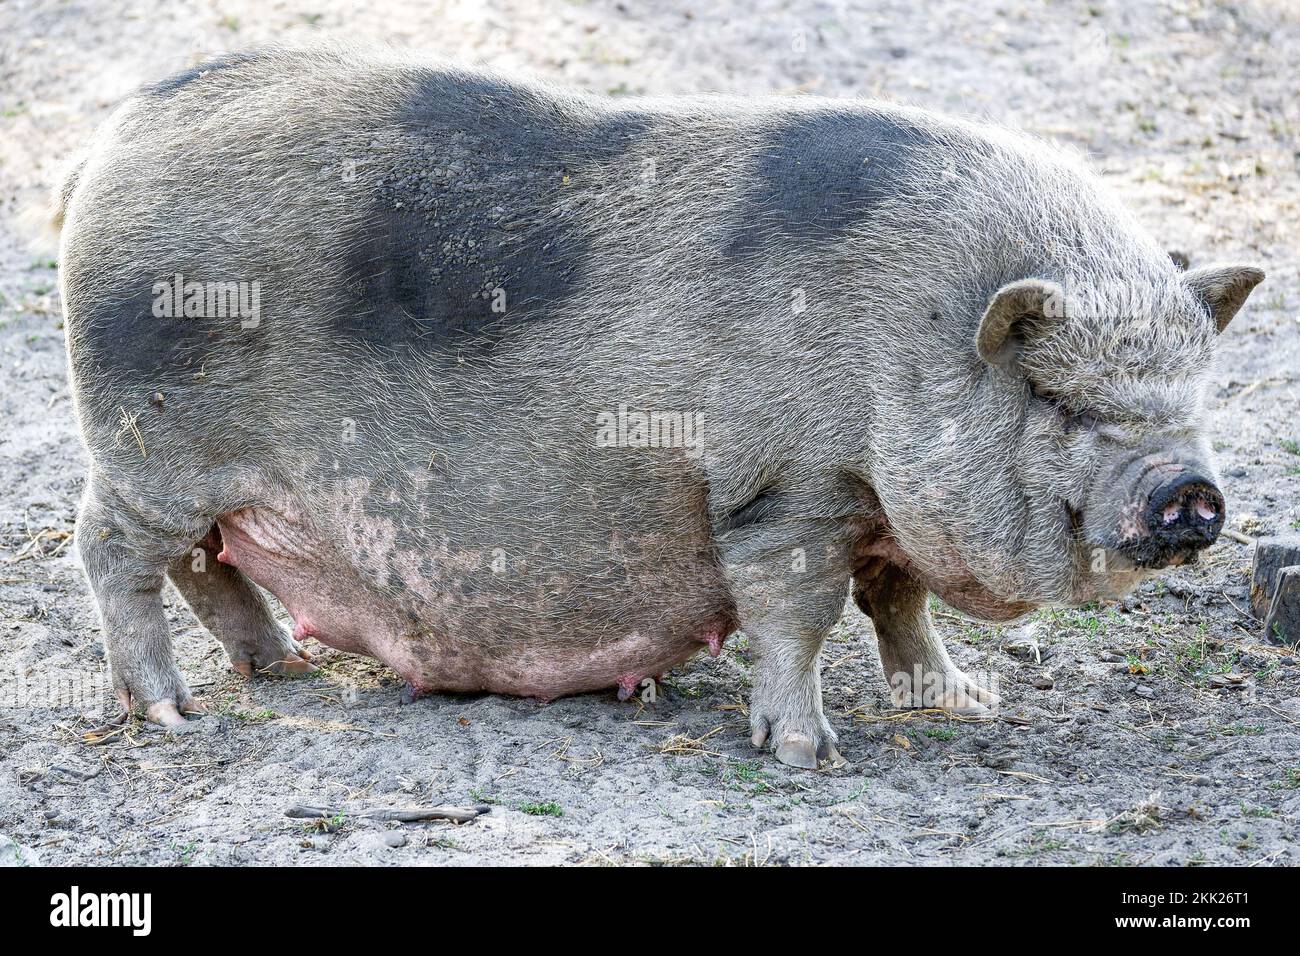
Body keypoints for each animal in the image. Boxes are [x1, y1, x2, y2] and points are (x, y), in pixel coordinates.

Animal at [55, 47, 1263, 768]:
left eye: (1201, 393)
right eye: (1057, 398)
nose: (1189, 490)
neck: (915, 337)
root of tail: (116, 135)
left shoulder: (886, 503)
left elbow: (899, 603)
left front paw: (967, 705)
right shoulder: (789, 486)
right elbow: (801, 611)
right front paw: (808, 754)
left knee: (206, 564)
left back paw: (281, 670)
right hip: (149, 445)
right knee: (112, 548)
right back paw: (173, 712)